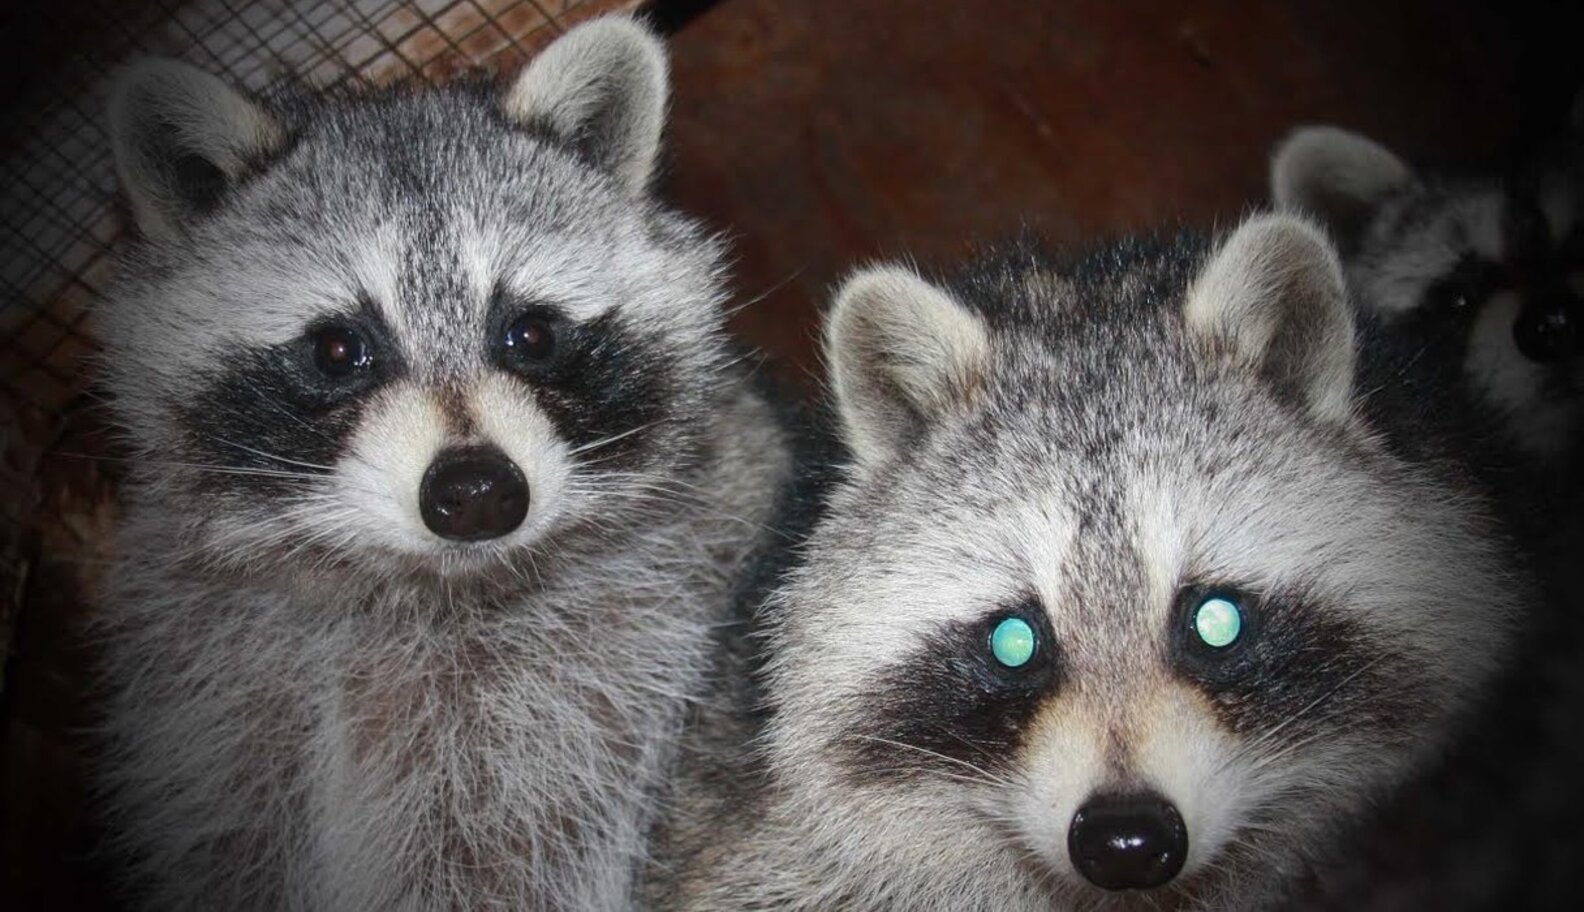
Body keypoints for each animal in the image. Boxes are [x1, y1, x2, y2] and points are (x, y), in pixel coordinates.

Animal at [94, 17, 789, 911]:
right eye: (337, 349)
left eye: (531, 333)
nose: (479, 491)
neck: (413, 587)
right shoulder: (206, 685)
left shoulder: (593, 692)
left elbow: (502, 863)